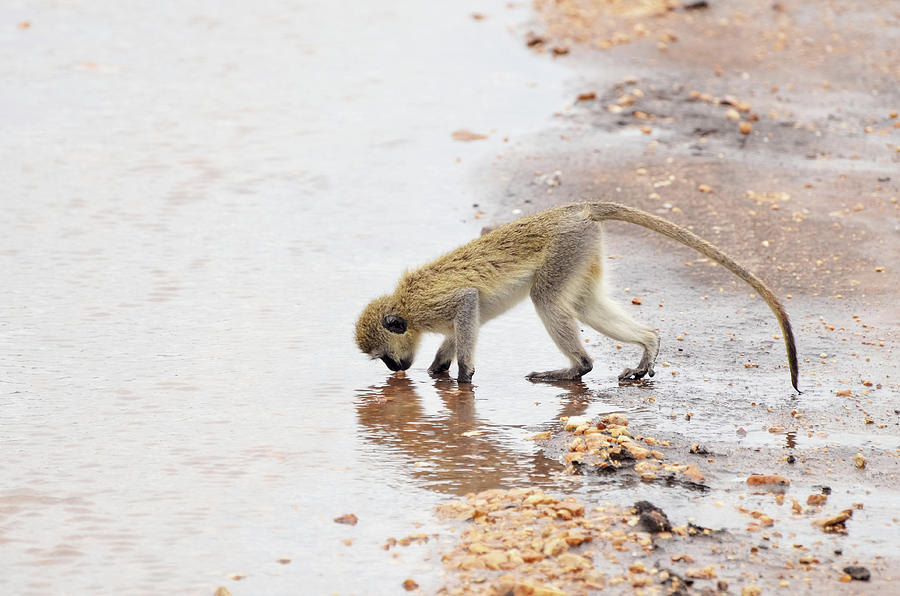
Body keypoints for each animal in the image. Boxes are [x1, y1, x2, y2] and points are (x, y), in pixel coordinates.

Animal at [356, 203, 800, 394]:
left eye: (384, 356)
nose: (395, 369)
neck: (405, 305)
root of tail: (575, 210)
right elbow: (469, 321)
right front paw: (437, 370)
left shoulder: (438, 307)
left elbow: (468, 305)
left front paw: (463, 379)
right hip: (582, 250)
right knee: (585, 304)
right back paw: (647, 345)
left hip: (566, 248)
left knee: (547, 299)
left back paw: (577, 368)